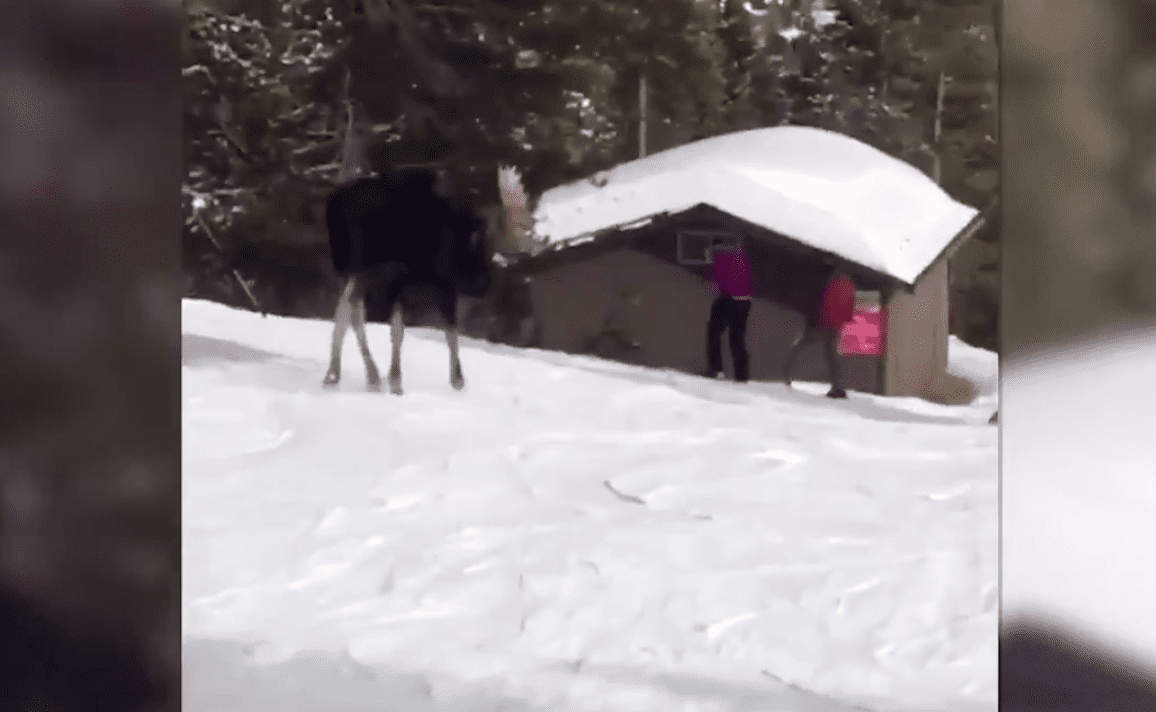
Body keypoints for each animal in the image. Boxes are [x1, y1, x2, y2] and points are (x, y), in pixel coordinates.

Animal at [322, 168, 493, 395]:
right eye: (475, 245)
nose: (484, 283)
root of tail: (332, 204)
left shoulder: (426, 286)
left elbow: (442, 330)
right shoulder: (430, 285)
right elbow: (409, 330)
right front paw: (398, 380)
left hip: (352, 270)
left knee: (346, 311)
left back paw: (340, 374)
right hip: (361, 269)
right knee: (350, 312)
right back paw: (363, 375)